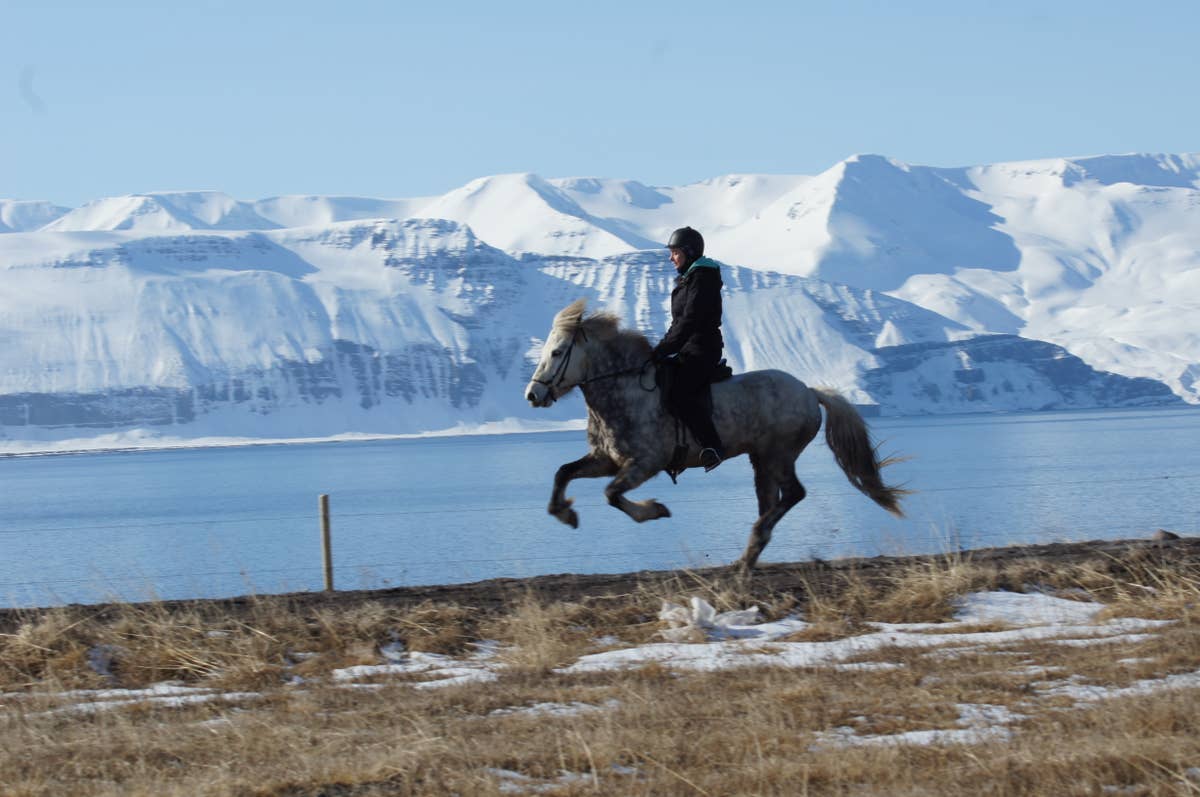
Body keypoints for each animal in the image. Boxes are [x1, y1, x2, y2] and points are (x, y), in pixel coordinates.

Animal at [524, 299, 907, 569]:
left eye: (557, 352)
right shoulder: (606, 460)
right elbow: (564, 473)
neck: (624, 388)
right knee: (771, 502)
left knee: (793, 494)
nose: (533, 395)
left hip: (778, 454)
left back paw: (753, 541)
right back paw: (747, 557)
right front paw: (565, 514)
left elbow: (611, 495)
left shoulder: (644, 464)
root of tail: (809, 392)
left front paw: (655, 510)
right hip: (761, 460)